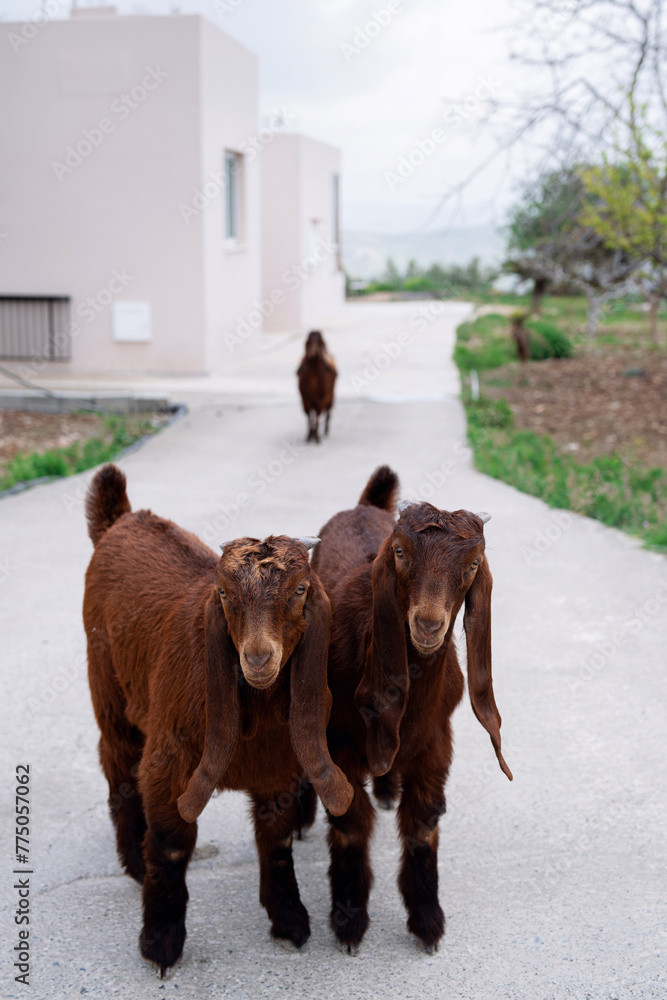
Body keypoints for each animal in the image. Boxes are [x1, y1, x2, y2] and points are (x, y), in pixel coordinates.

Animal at [83, 464, 353, 974]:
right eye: (224, 594)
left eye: (301, 589)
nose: (259, 658)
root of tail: (122, 518)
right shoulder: (169, 760)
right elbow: (171, 843)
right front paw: (161, 943)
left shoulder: (278, 769)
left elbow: (277, 841)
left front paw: (290, 921)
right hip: (108, 688)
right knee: (117, 763)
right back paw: (132, 859)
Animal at [310, 465, 512, 954]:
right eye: (400, 552)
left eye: (473, 565)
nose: (428, 624)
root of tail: (364, 504)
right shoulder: (339, 740)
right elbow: (349, 823)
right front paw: (349, 920)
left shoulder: (436, 740)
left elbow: (423, 822)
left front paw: (427, 920)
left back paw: (386, 787)